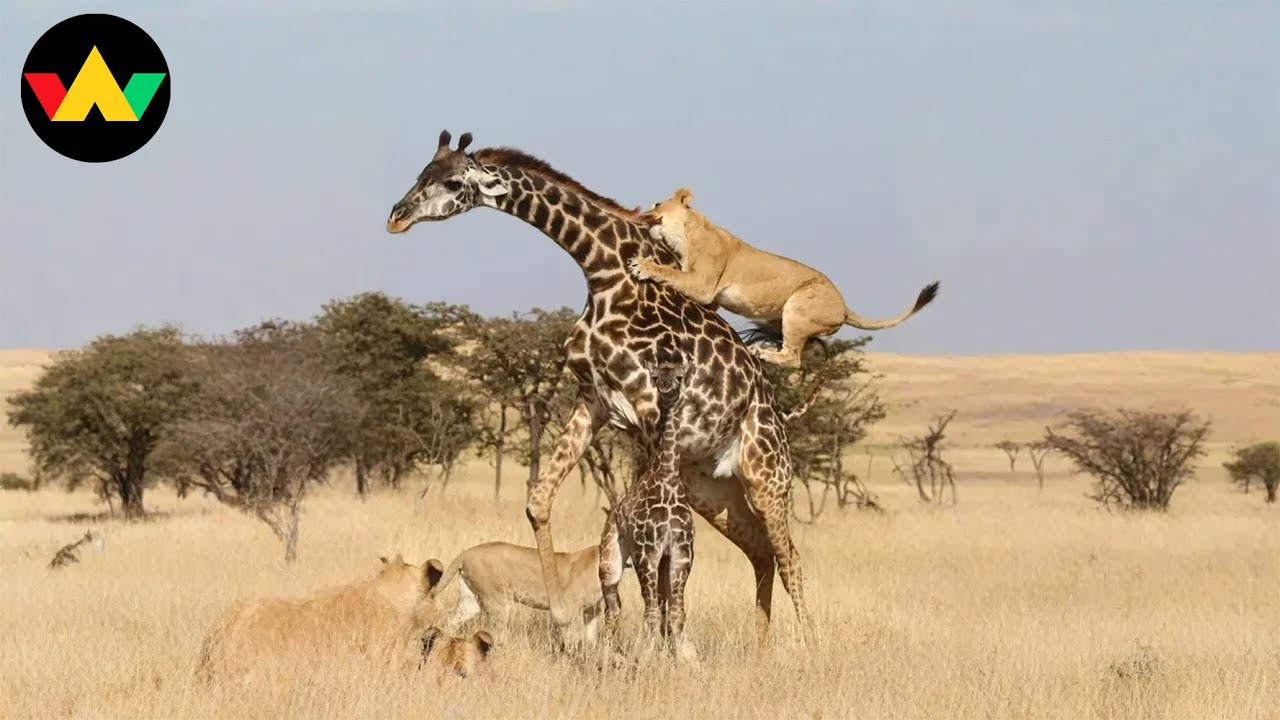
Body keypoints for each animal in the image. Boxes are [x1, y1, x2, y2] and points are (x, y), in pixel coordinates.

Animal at [432, 541, 607, 641]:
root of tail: (466, 553)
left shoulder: (592, 612)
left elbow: (591, 640)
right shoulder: (571, 611)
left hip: (470, 601)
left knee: (450, 621)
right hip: (498, 602)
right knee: (496, 633)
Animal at [598, 359, 697, 662]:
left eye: (680, 376)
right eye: (654, 377)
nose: (666, 387)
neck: (667, 479)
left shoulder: (680, 553)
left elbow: (676, 613)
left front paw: (681, 658)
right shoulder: (646, 552)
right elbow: (651, 612)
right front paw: (648, 657)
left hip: (663, 564)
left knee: (659, 606)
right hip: (609, 562)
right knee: (613, 606)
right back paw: (608, 655)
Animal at [631, 187, 939, 368]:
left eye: (657, 203)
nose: (644, 211)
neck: (687, 232)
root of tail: (845, 307)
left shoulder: (703, 284)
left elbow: (670, 272)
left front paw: (642, 265)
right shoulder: (710, 297)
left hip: (798, 307)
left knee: (793, 358)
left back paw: (761, 353)